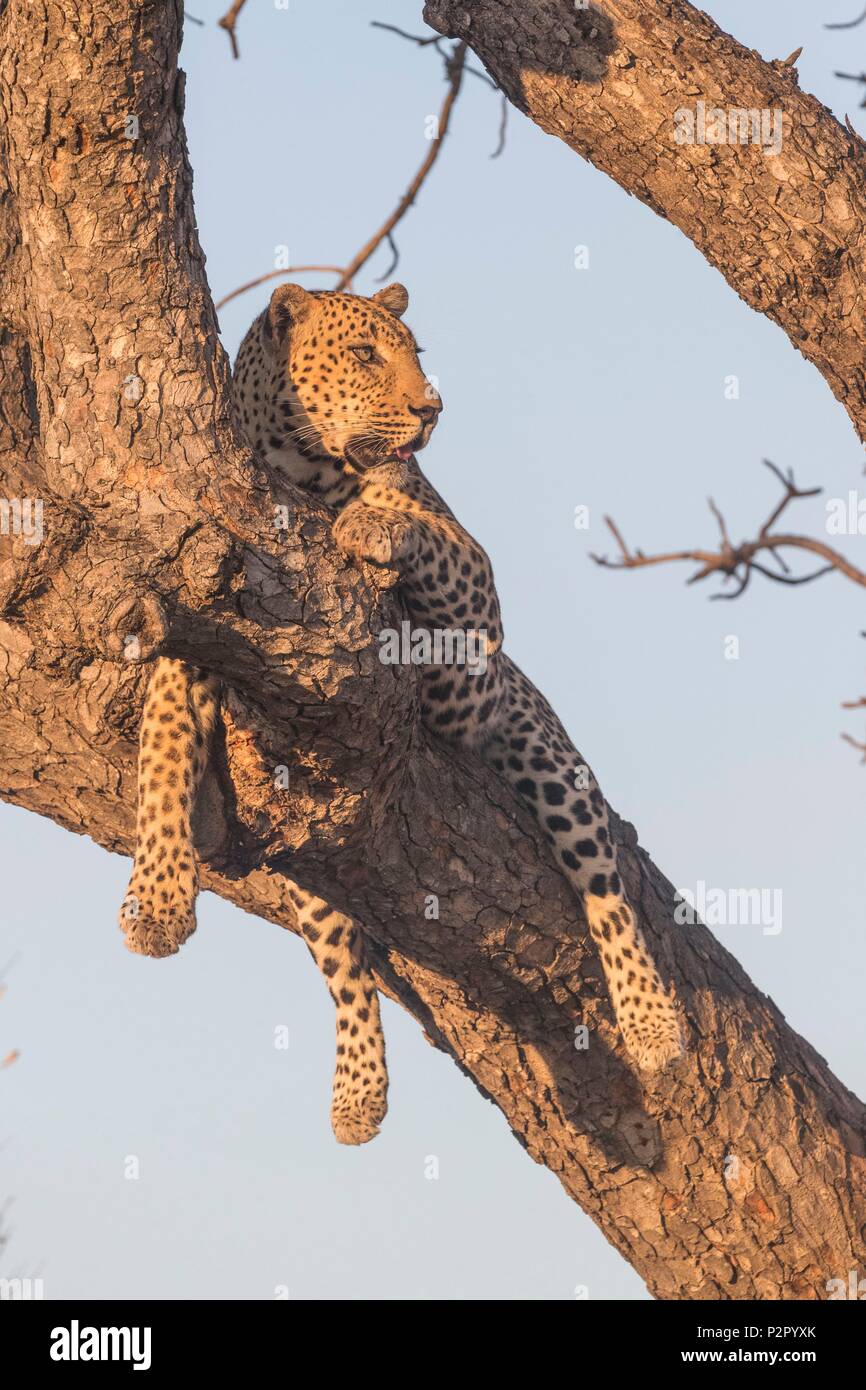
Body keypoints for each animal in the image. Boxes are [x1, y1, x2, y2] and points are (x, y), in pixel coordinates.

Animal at [118, 281, 683, 1145]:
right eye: (364, 355)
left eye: (415, 352)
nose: (433, 409)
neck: (307, 479)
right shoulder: (188, 624)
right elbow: (162, 754)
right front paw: (155, 900)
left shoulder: (465, 653)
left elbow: (424, 534)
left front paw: (374, 522)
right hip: (311, 858)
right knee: (346, 973)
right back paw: (358, 1096)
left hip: (548, 755)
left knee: (608, 895)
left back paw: (654, 1023)